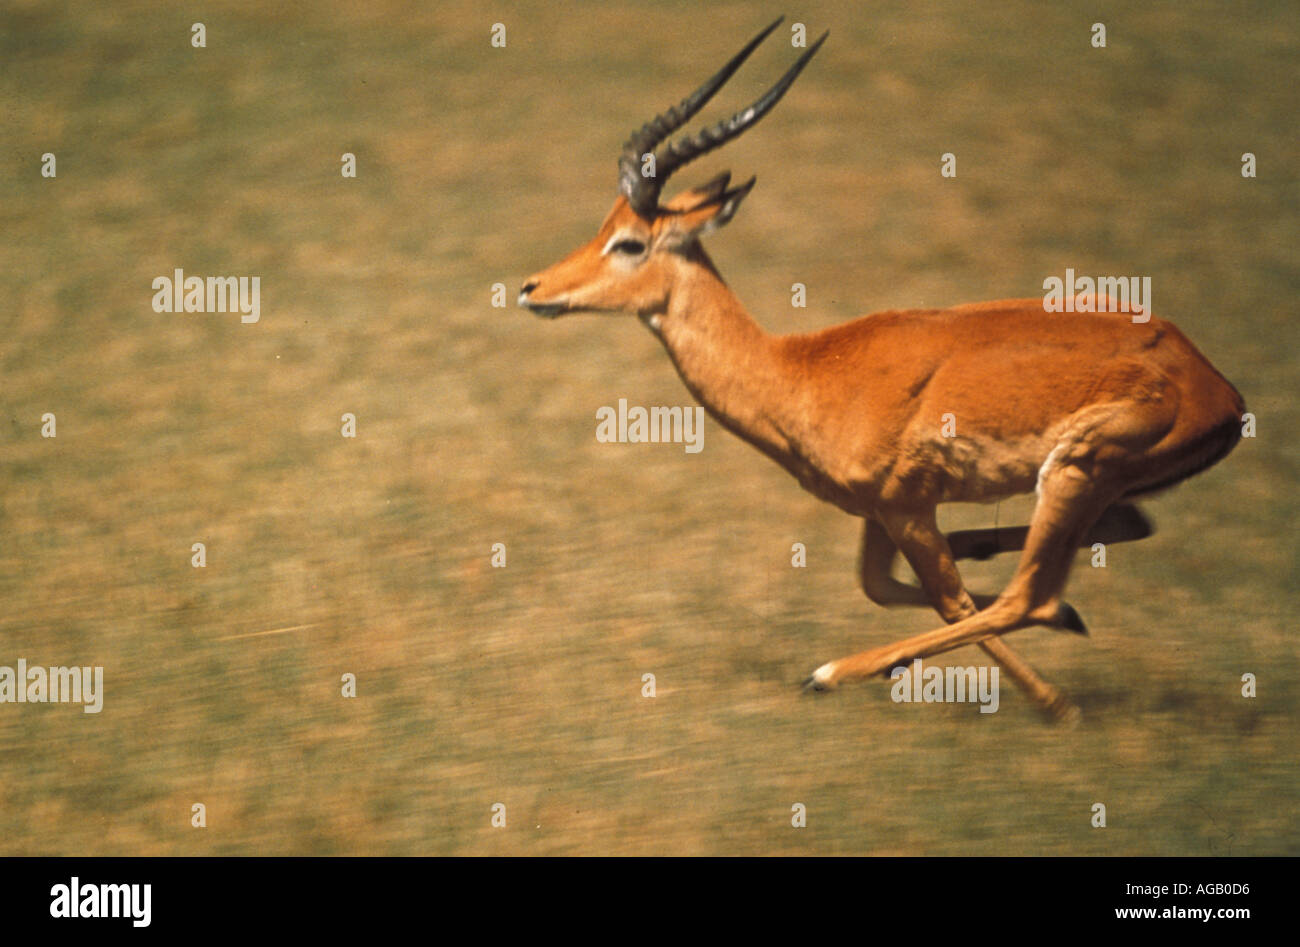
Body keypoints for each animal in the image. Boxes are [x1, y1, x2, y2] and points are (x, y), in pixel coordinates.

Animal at [518, 17, 1246, 720]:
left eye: (629, 242)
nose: (531, 288)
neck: (801, 371)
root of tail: (1217, 388)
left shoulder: (906, 504)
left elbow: (950, 602)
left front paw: (1055, 698)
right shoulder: (880, 513)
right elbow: (880, 585)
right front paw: (1065, 636)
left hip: (1075, 469)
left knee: (1028, 596)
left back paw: (845, 673)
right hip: (1086, 483)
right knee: (1117, 534)